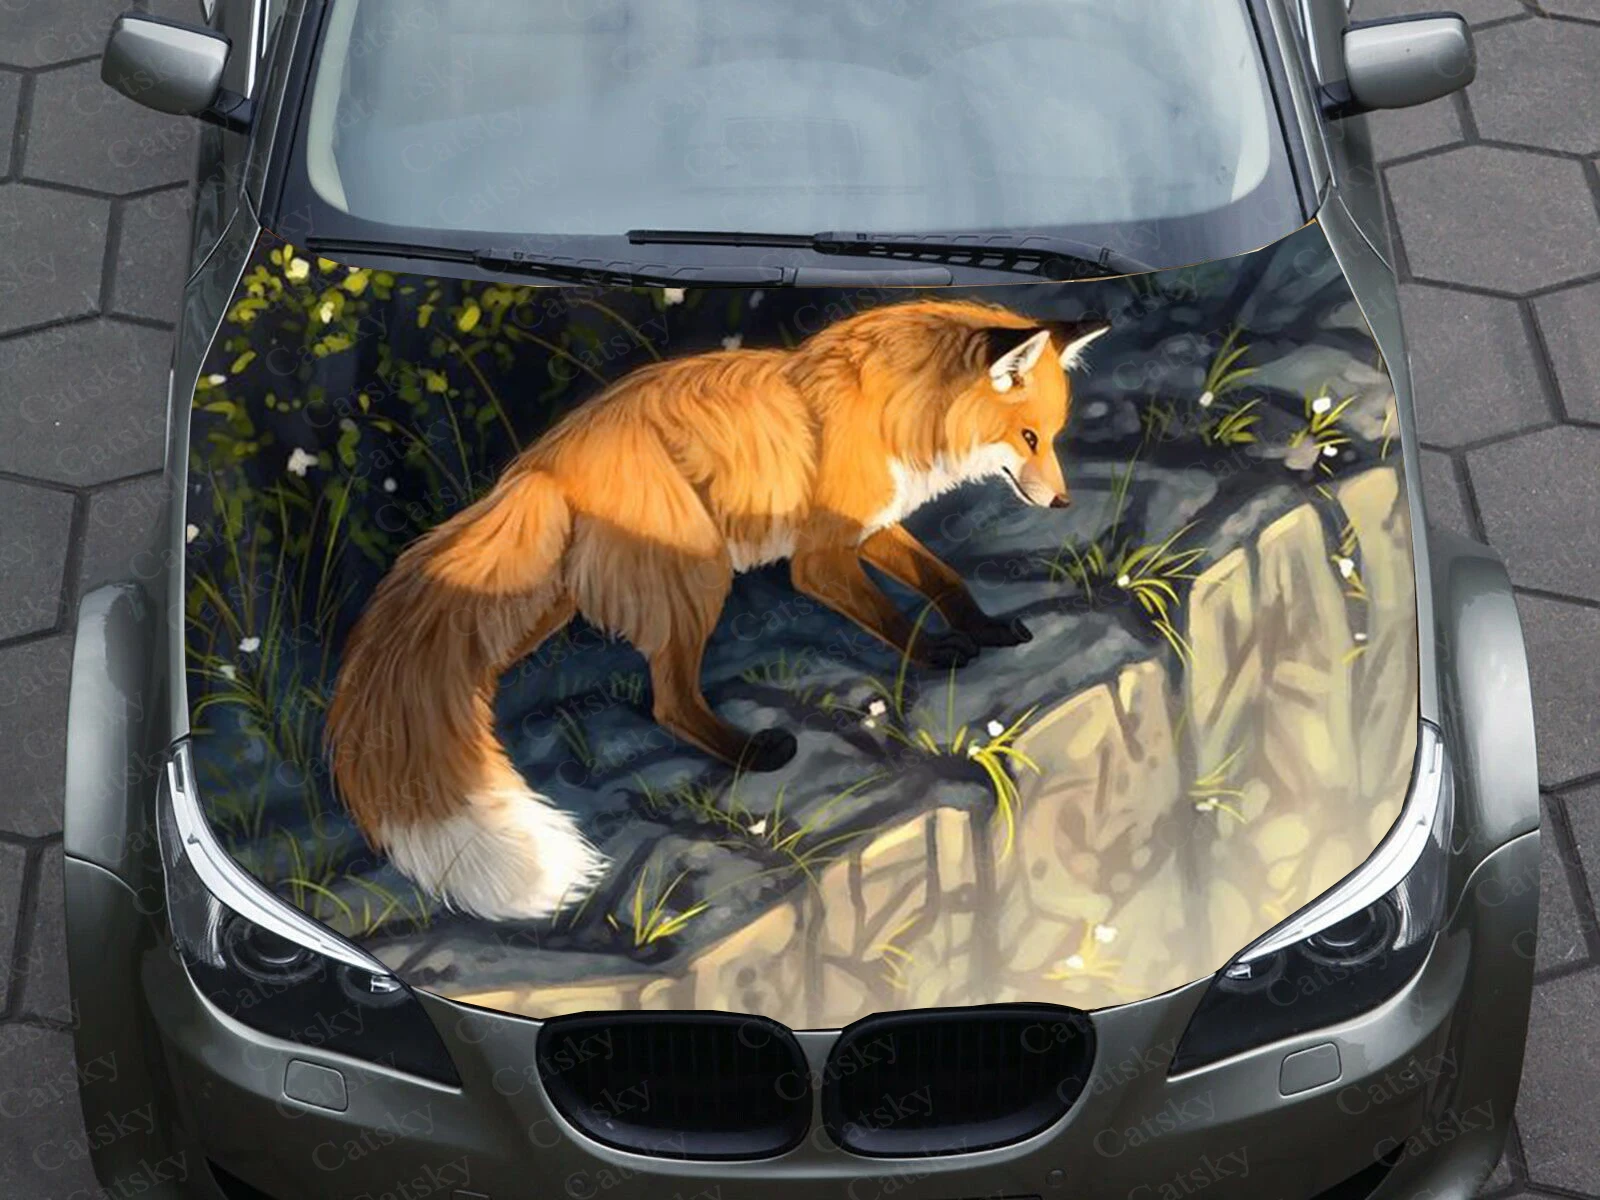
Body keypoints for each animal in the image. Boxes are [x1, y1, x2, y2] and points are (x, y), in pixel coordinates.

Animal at [326, 299, 1112, 920]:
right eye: (1028, 437)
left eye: (1054, 436)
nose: (1062, 501)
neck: (897, 409)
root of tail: (537, 468)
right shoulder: (819, 557)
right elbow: (892, 614)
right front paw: (938, 652)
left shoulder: (871, 525)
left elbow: (943, 578)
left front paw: (984, 628)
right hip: (695, 580)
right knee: (669, 703)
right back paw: (750, 753)